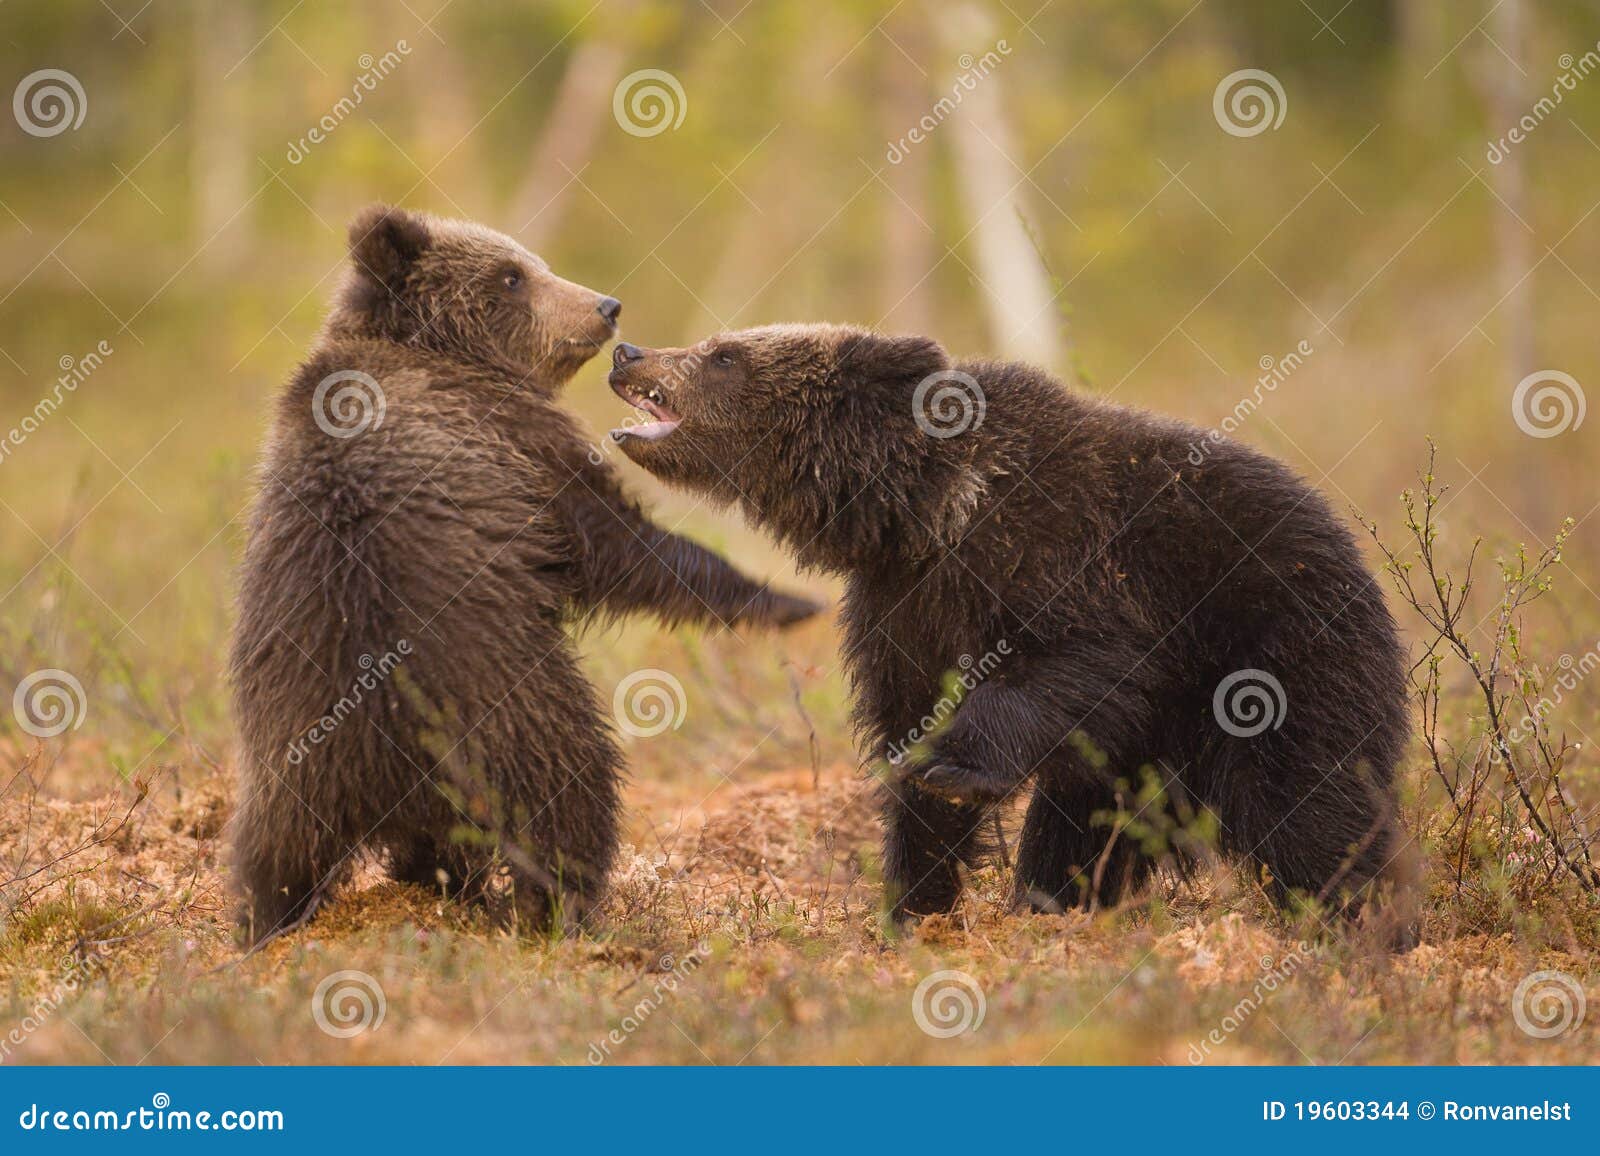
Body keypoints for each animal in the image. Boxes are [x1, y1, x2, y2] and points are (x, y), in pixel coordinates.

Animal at [228, 207, 819, 946]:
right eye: (512, 275)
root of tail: (382, 770)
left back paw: (271, 924)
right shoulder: (517, 443)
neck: (443, 355)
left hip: (290, 754)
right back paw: (561, 910)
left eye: (531, 263)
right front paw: (785, 599)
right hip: (514, 718)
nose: (605, 307)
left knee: (275, 853)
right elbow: (614, 542)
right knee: (572, 800)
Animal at [606, 324, 1418, 942]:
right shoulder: (903, 605)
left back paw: (1364, 924)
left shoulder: (1067, 557)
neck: (929, 511)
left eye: (723, 354)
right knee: (1083, 824)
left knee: (1312, 807)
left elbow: (1076, 663)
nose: (628, 352)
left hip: (1278, 656)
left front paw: (953, 769)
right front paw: (914, 902)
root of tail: (1359, 560)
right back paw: (1061, 902)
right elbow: (911, 730)